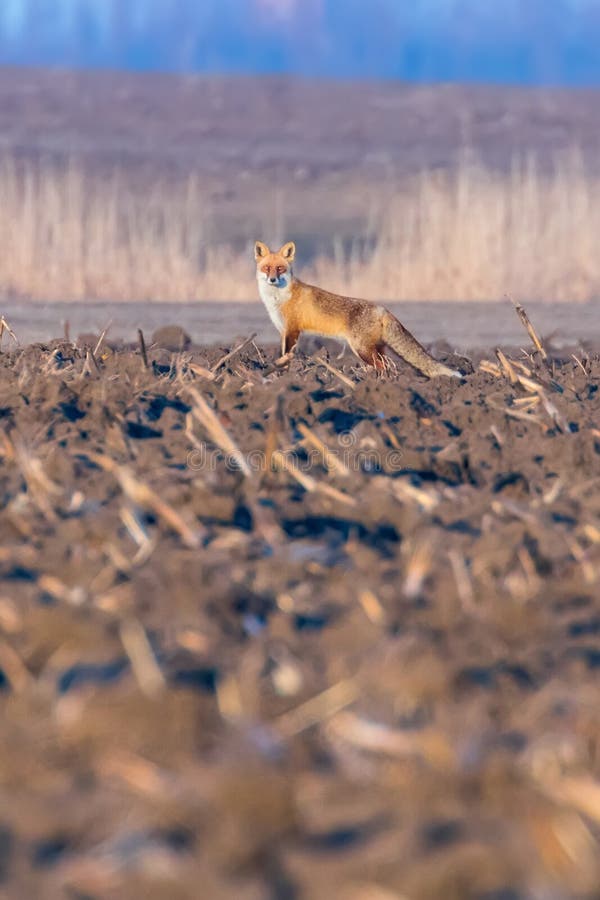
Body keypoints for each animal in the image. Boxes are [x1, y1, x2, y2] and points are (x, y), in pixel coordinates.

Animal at [254, 240, 462, 378]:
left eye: (280, 268)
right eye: (267, 268)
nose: (272, 279)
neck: (278, 298)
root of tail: (382, 308)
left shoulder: (292, 330)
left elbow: (286, 355)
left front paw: (283, 374)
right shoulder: (283, 331)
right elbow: (283, 354)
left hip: (361, 348)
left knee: (382, 366)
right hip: (376, 348)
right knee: (388, 365)